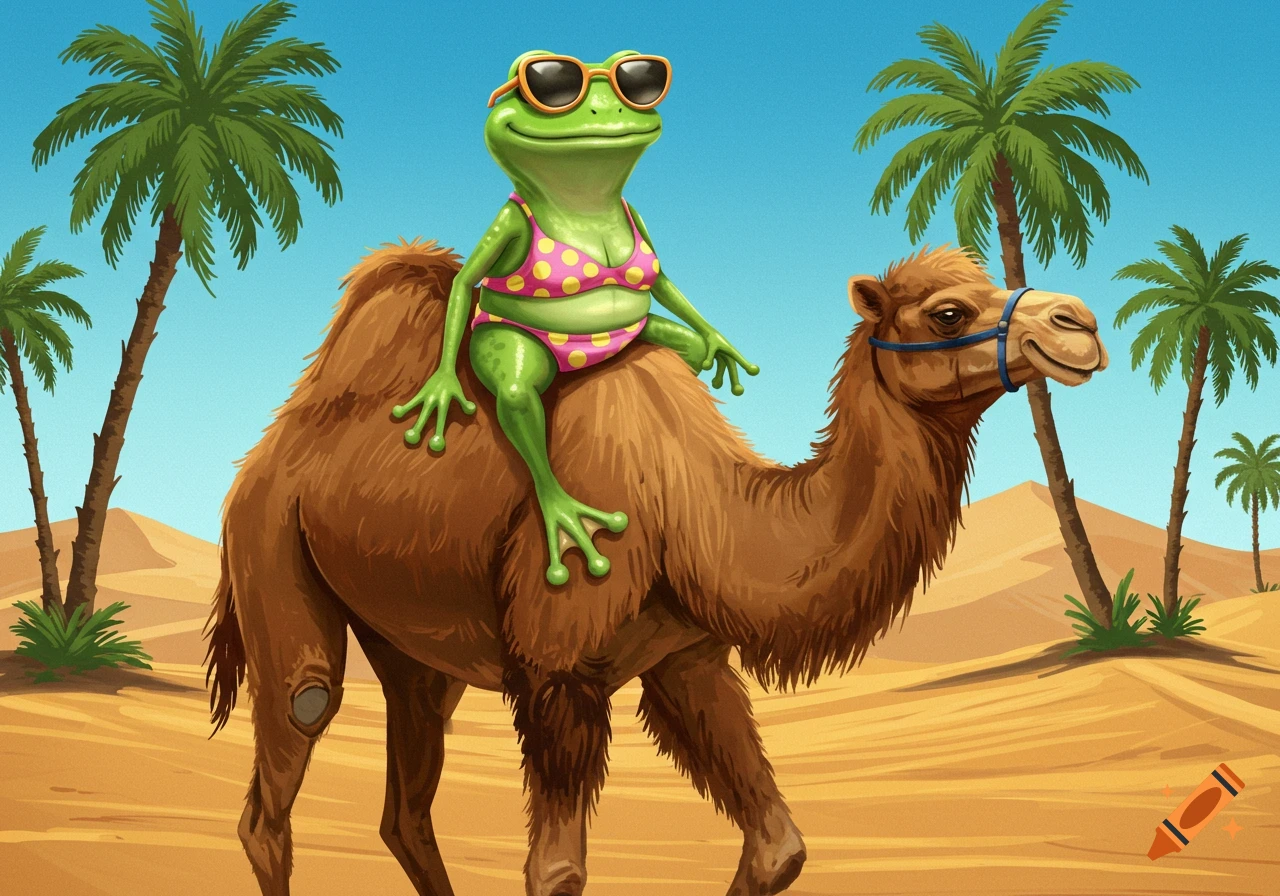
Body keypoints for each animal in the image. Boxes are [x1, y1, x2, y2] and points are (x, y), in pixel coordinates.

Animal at [204, 241, 1107, 896]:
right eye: (948, 311)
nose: (1080, 323)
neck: (694, 508)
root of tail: (268, 451)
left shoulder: (685, 655)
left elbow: (779, 848)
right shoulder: (560, 666)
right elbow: (556, 872)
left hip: (414, 643)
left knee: (406, 804)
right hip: (268, 542)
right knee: (290, 747)